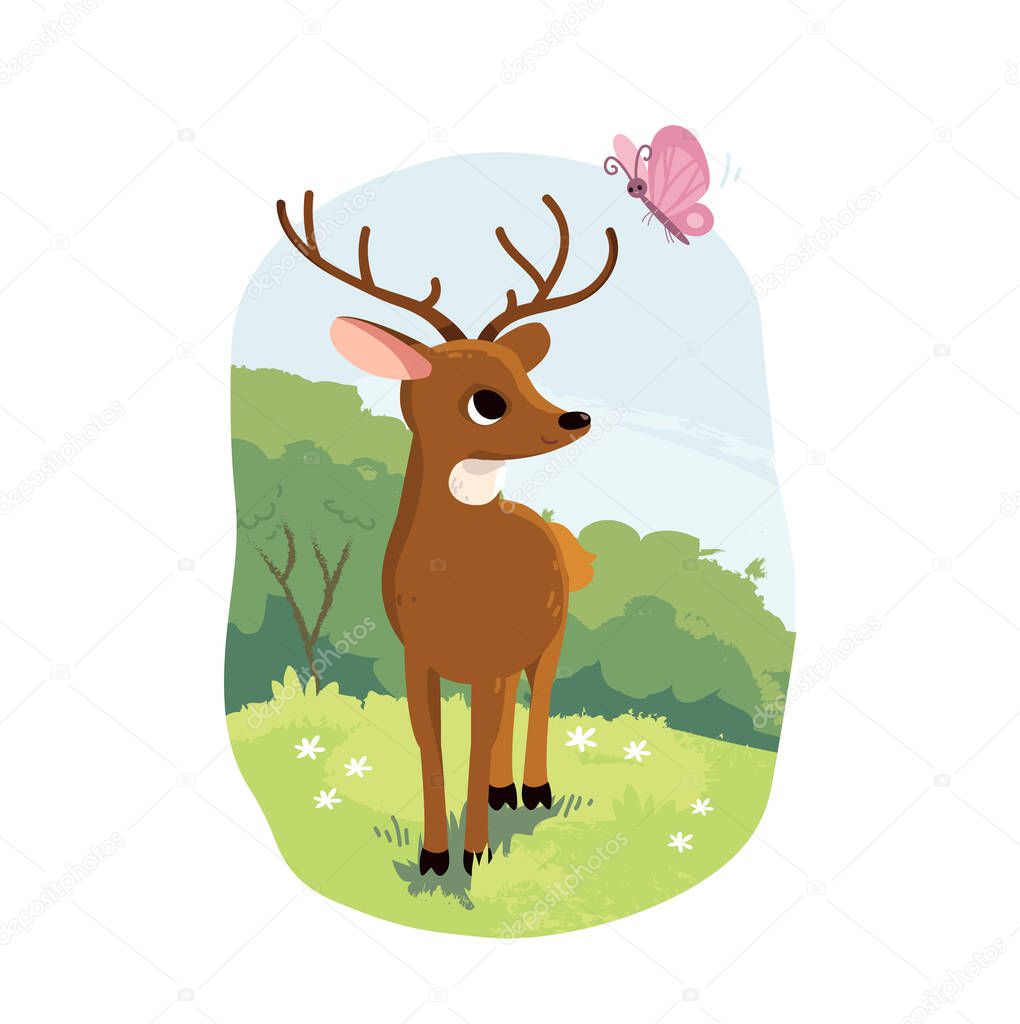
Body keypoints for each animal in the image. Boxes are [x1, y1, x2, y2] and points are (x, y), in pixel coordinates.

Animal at [277, 190, 618, 875]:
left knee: (539, 700)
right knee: (511, 711)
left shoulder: (488, 655)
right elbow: (430, 746)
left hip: (552, 635)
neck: (450, 575)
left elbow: (478, 737)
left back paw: (531, 791)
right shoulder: (420, 657)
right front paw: (436, 855)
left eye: (525, 374)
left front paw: (477, 855)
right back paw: (502, 791)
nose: (575, 417)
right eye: (486, 400)